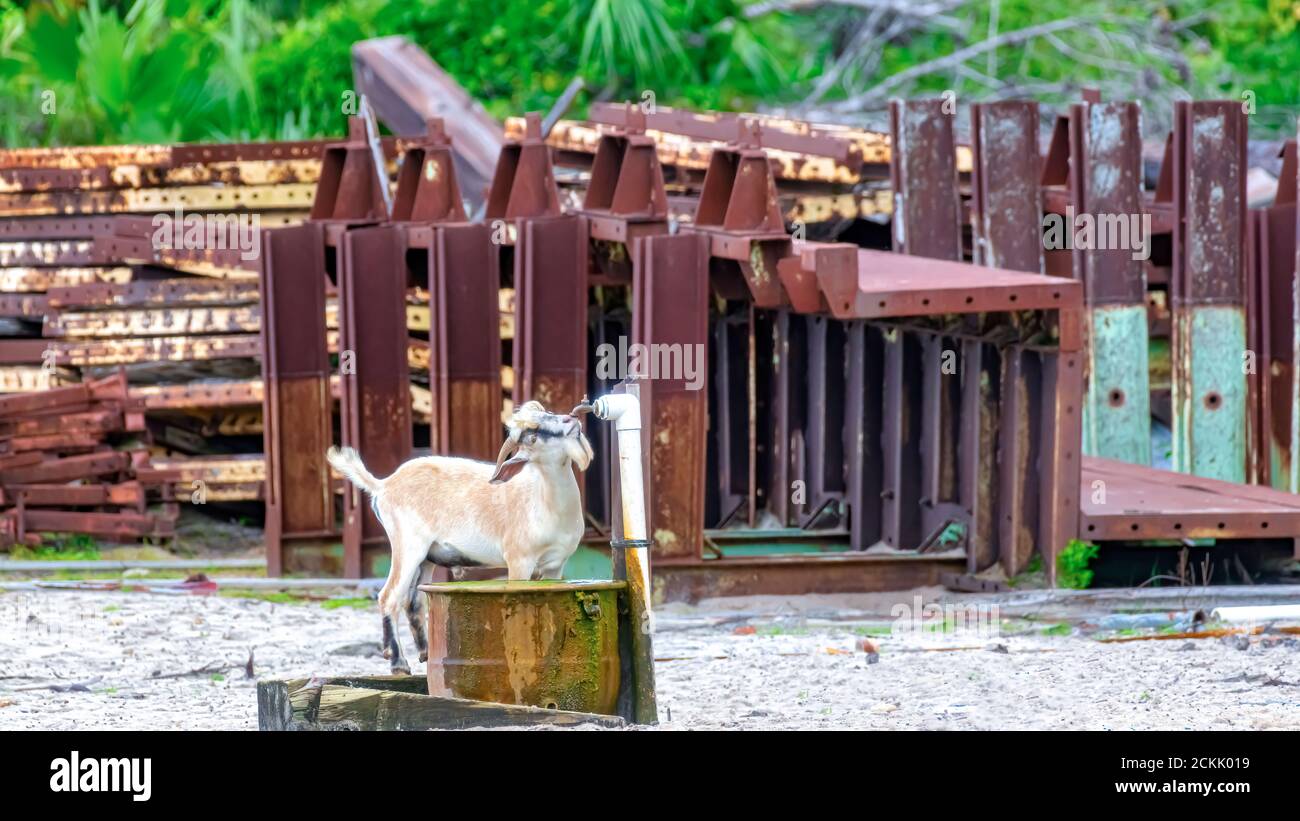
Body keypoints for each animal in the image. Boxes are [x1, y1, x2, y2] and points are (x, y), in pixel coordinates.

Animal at [326, 400, 593, 673]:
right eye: (532, 436)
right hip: (408, 544)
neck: (546, 502)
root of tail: (383, 485)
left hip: (428, 557)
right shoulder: (519, 559)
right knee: (390, 596)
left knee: (414, 602)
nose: (571, 421)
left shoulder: (555, 565)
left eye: (548, 413)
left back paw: (425, 653)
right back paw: (399, 664)